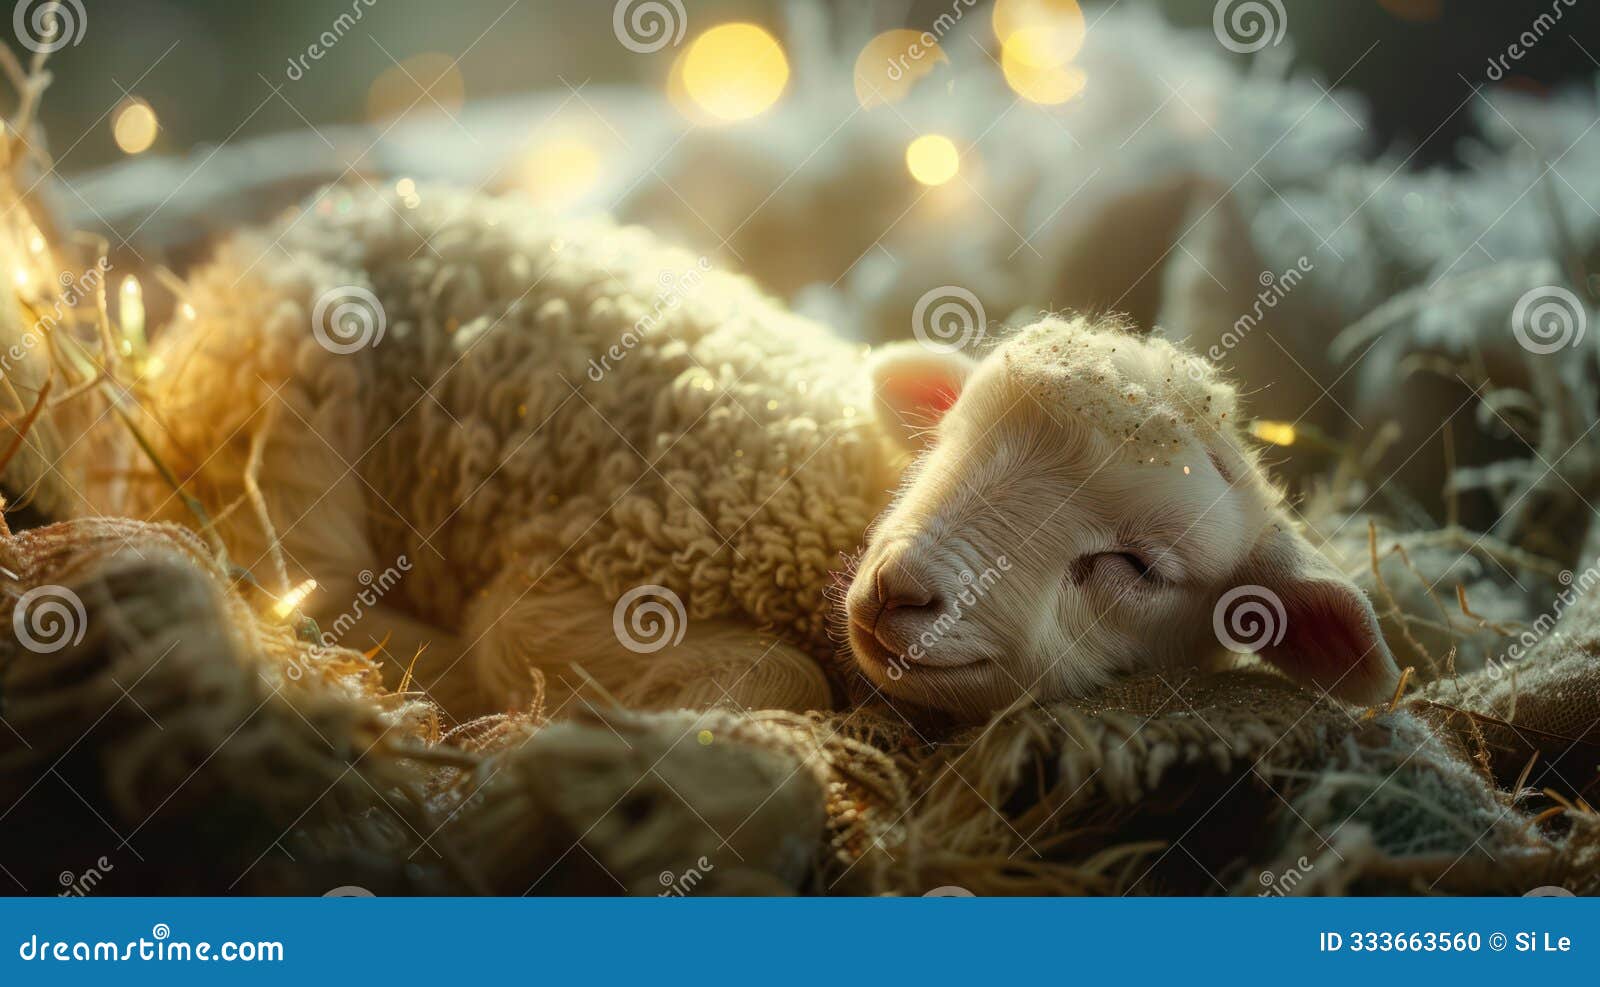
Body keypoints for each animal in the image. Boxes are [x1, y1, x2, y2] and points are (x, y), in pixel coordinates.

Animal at [124, 184, 1399, 722]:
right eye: (953, 443)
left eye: (1135, 565)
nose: (900, 592)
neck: (827, 503)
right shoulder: (566, 591)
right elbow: (778, 680)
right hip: (290, 375)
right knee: (287, 573)